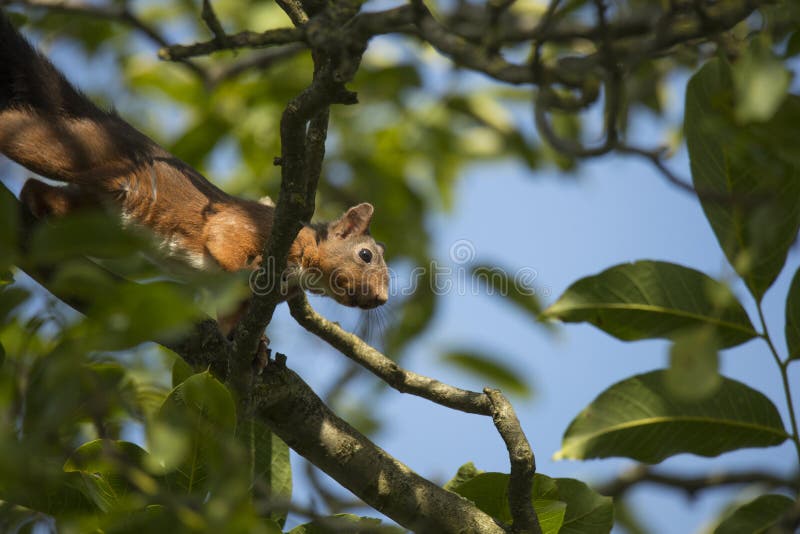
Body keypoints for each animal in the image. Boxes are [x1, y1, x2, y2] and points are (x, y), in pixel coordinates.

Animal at [0, 11, 389, 312]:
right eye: (366, 255)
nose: (381, 299)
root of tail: (106, 122)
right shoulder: (255, 225)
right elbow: (225, 239)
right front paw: (248, 269)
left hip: (102, 223)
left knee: (47, 193)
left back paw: (39, 205)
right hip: (76, 150)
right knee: (20, 134)